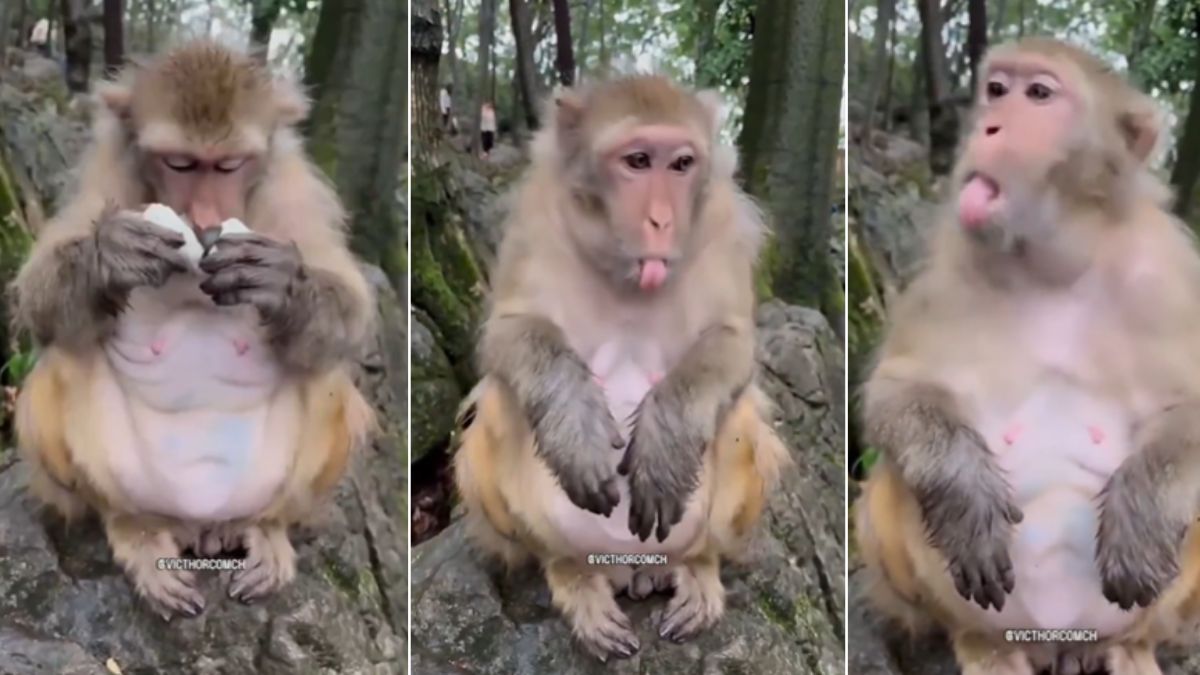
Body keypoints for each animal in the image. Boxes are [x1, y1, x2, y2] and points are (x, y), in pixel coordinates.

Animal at [11, 40, 376, 620]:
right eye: (180, 163)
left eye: (228, 165)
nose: (204, 214)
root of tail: (198, 523)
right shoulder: (109, 171)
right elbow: (41, 298)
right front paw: (108, 256)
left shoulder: (288, 185)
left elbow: (349, 310)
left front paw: (280, 281)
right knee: (64, 355)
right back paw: (134, 534)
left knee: (325, 371)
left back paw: (267, 529)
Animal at [451, 75, 790, 661]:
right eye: (637, 160)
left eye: (681, 164)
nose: (662, 221)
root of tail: (631, 568)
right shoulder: (537, 219)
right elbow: (508, 332)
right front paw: (576, 429)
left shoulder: (723, 224)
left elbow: (732, 340)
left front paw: (666, 445)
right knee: (496, 406)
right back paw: (574, 580)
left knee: (741, 420)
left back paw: (698, 569)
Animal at [854, 37, 1200, 675]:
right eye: (996, 90)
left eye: (1039, 94)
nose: (988, 127)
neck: (1055, 261)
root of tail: (1053, 640)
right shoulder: (951, 269)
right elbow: (897, 389)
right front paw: (966, 493)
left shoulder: (1166, 274)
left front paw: (1140, 520)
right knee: (889, 487)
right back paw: (983, 645)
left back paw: (1129, 648)